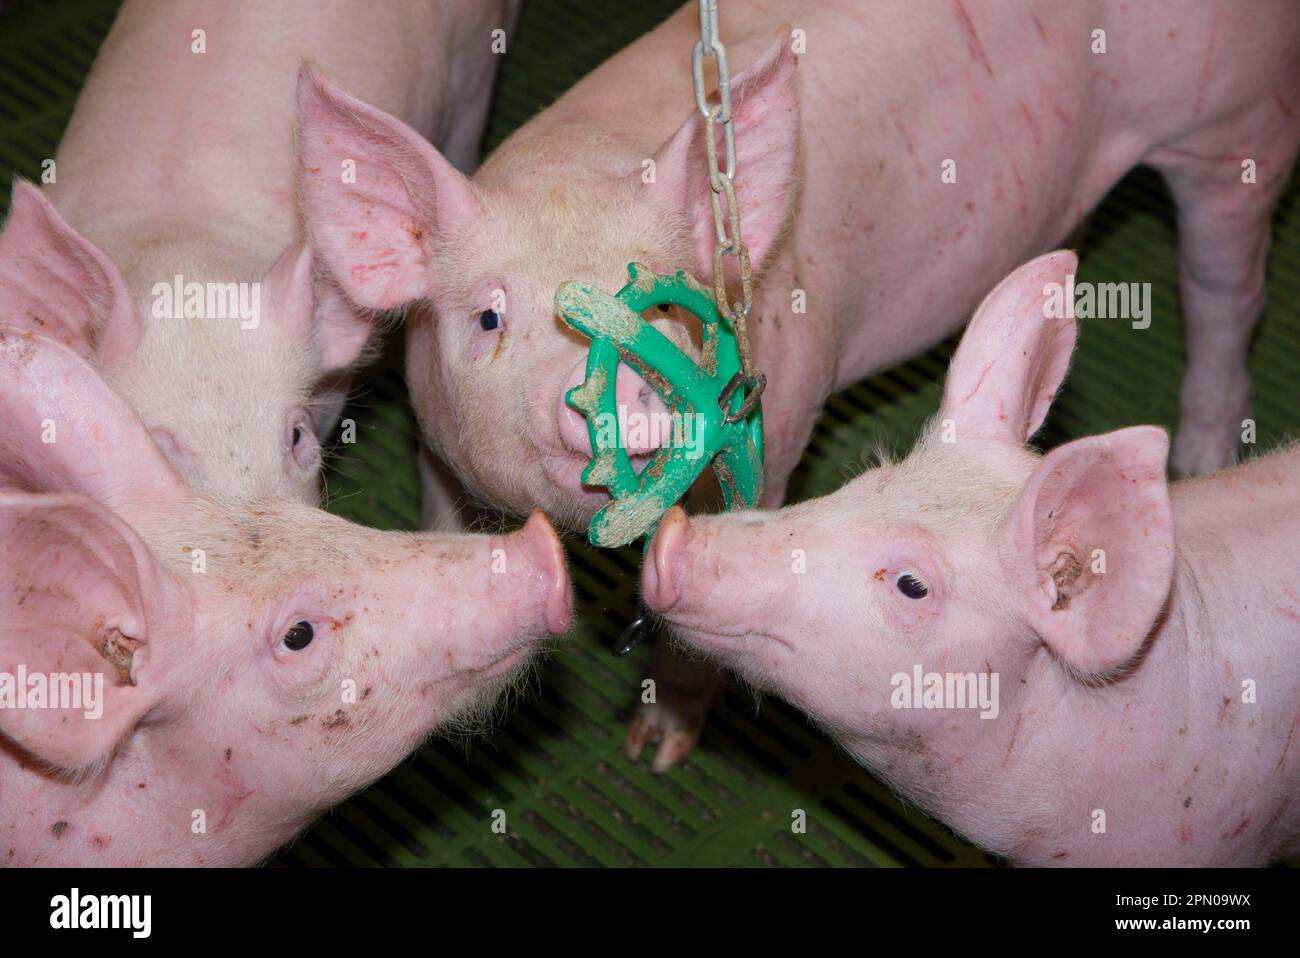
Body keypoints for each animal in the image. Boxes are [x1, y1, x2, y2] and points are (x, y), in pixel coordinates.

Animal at [296, 0, 1300, 769]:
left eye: (673, 313)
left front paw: (653, 752)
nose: (632, 402)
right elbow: (446, 520)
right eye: (488, 317)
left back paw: (1201, 456)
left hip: (1231, 127)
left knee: (1226, 290)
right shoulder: (434, 436)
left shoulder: (777, 436)